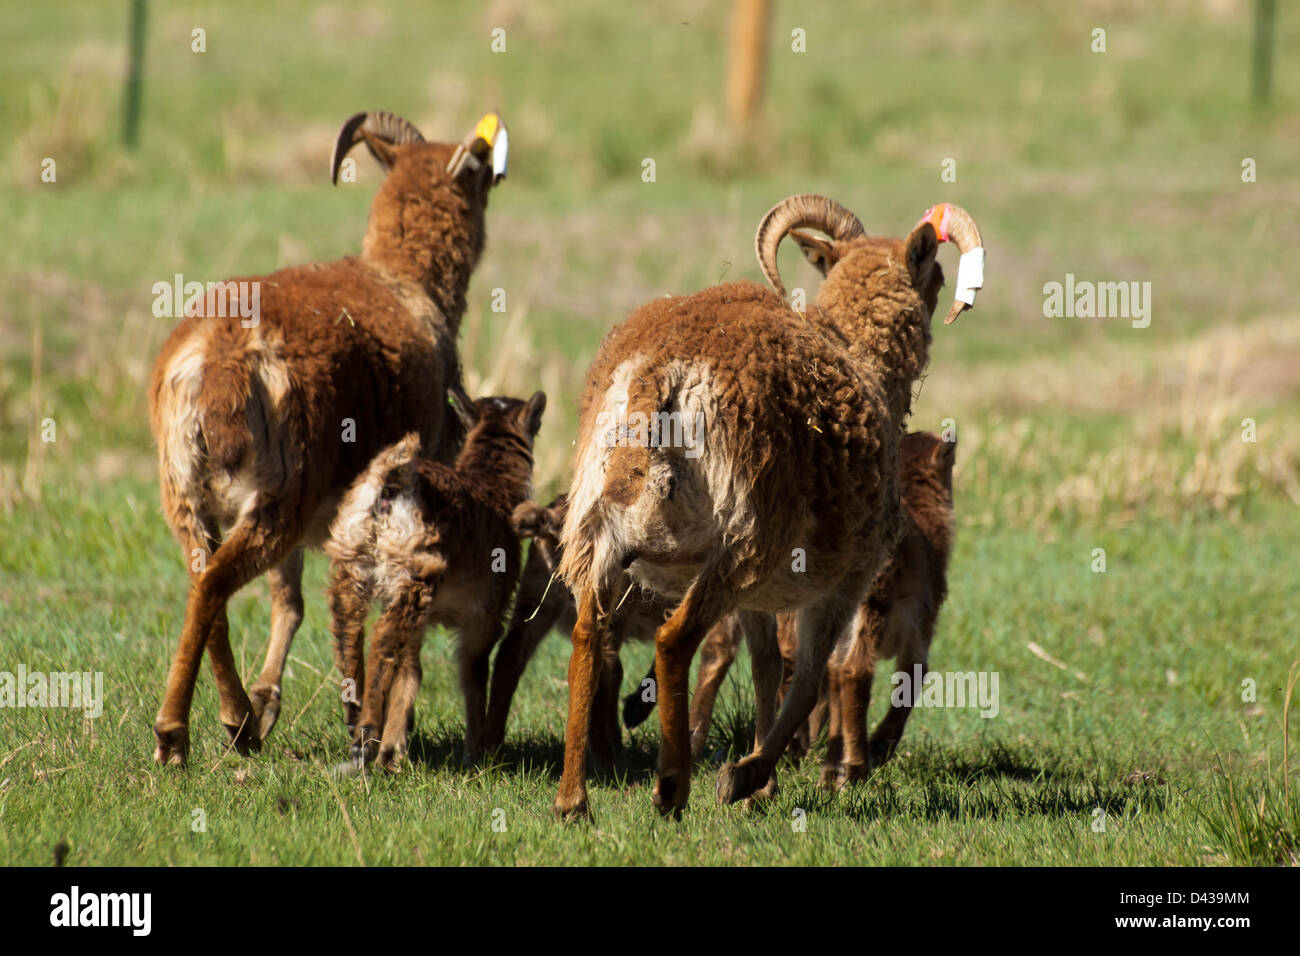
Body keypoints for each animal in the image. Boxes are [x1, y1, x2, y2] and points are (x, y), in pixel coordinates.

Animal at [147, 109, 509, 766]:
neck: (405, 280)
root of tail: (220, 361)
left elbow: (288, 600)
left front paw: (272, 700)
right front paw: (374, 719)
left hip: (187, 488)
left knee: (203, 583)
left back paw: (236, 720)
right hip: (285, 487)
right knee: (214, 584)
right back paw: (184, 730)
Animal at [326, 387, 546, 771]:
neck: (493, 487)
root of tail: (389, 481)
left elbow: (411, 673)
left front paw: (394, 753)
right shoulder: (485, 615)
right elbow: (473, 672)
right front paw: (475, 754)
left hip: (351, 560)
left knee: (348, 629)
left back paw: (355, 718)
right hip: (413, 573)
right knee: (382, 643)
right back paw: (365, 734)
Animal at [553, 194, 984, 818]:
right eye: (940, 276)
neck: (863, 360)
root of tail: (661, 371)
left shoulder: (760, 596)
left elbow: (764, 667)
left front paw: (763, 786)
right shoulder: (846, 580)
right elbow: (807, 679)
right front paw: (746, 776)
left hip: (600, 528)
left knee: (588, 636)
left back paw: (572, 801)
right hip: (743, 537)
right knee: (674, 641)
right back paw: (671, 787)